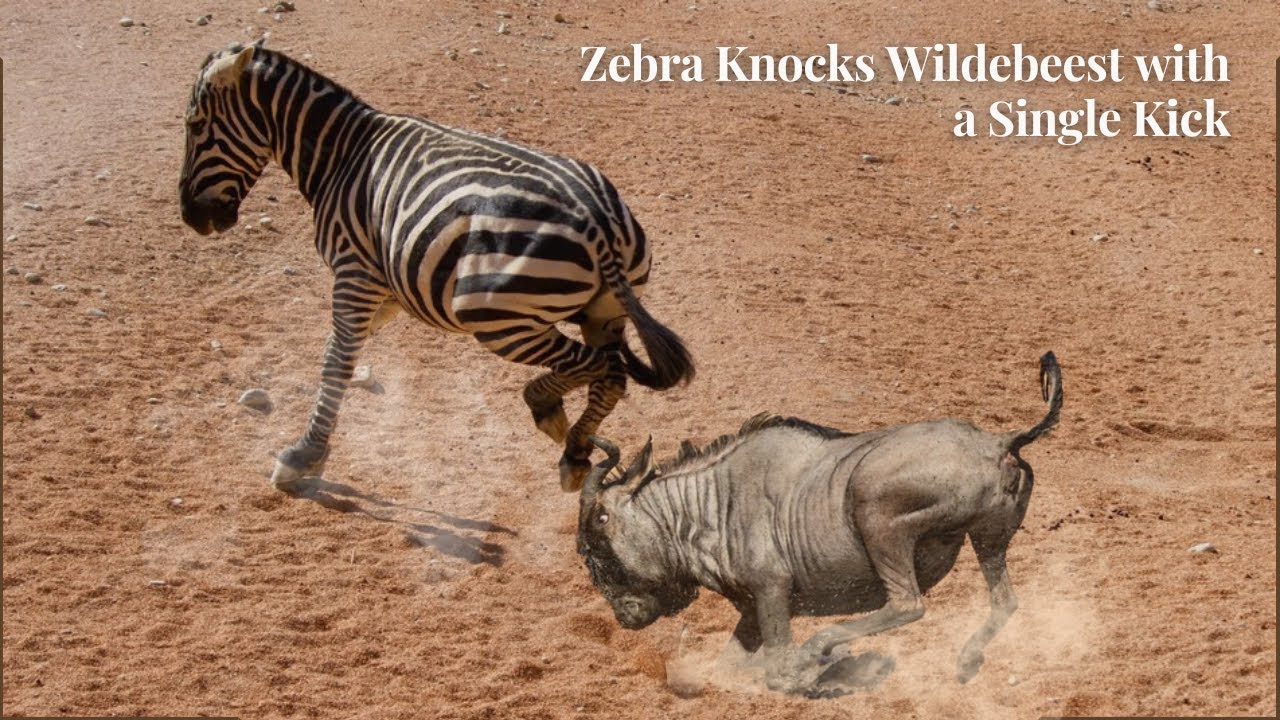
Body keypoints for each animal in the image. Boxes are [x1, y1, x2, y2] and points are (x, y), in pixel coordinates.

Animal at [179, 40, 695, 492]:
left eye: (194, 125)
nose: (193, 219)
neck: (338, 155)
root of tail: (596, 218)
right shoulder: (387, 289)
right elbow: (342, 351)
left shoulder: (354, 274)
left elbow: (336, 362)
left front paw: (305, 455)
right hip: (602, 312)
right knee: (609, 375)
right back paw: (570, 444)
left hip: (496, 317)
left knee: (604, 368)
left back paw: (547, 407)